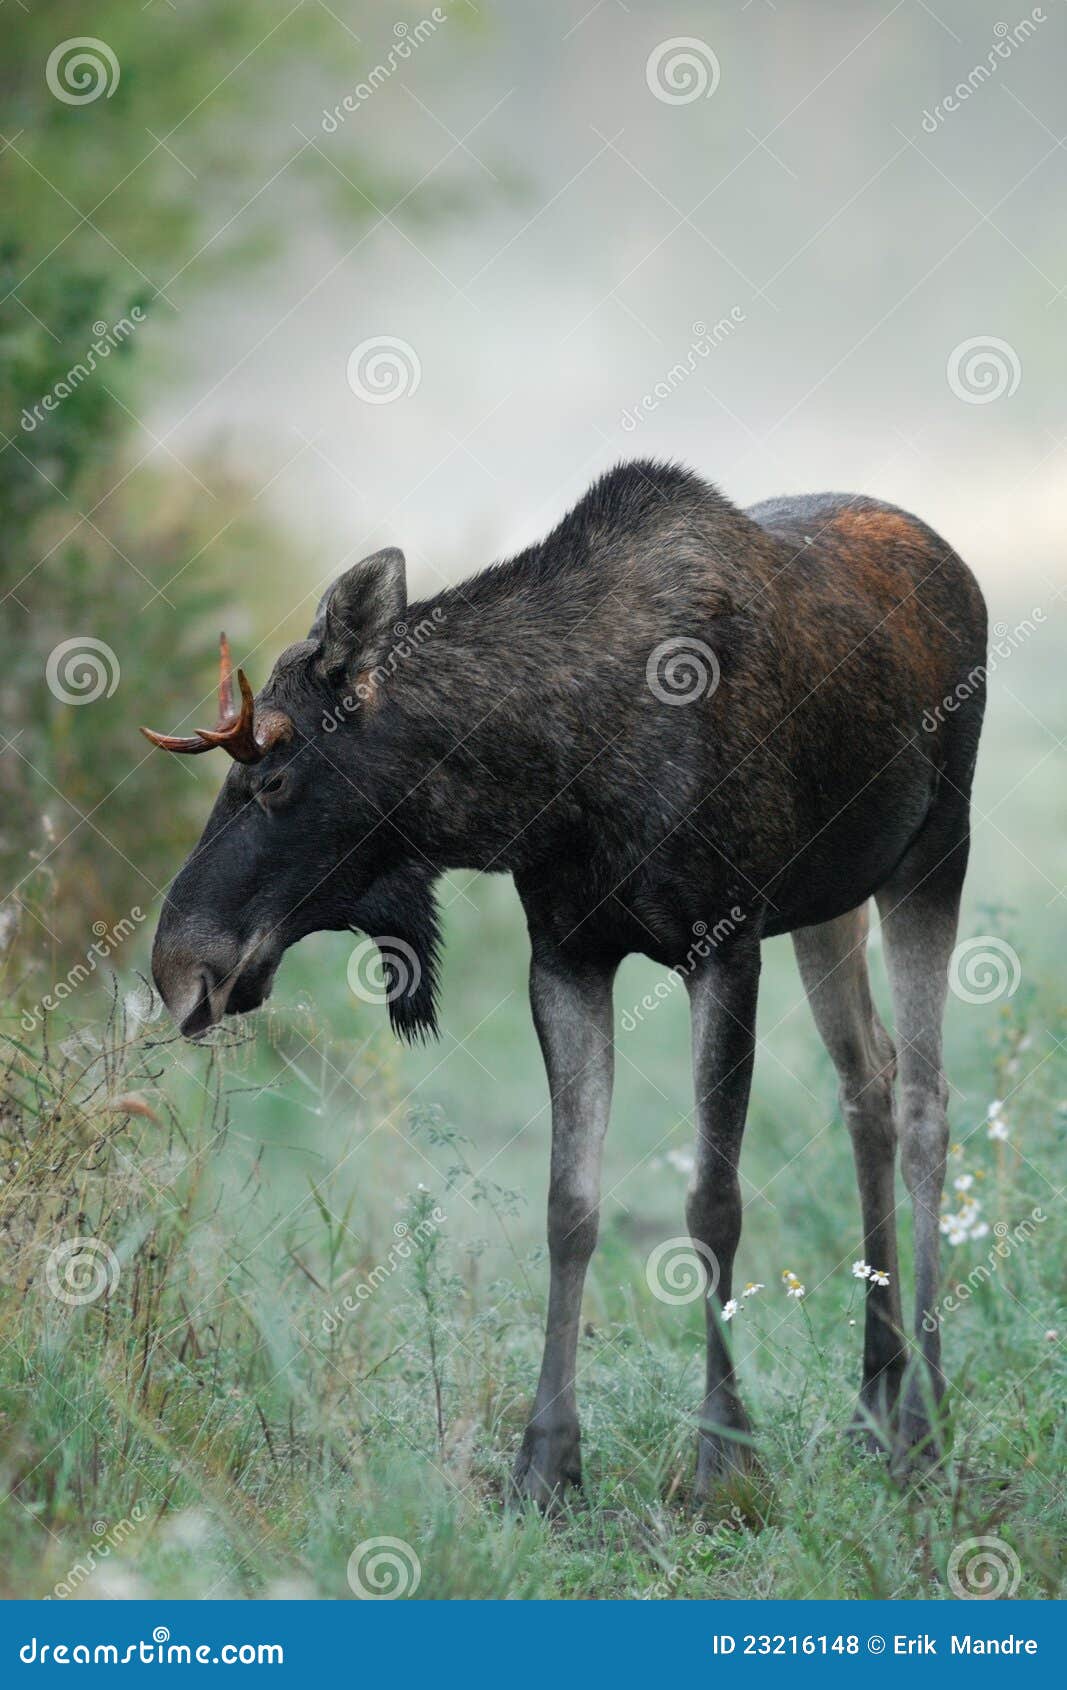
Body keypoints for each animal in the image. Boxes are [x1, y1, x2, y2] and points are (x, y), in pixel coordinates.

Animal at [144, 460, 987, 1504]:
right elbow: (569, 1207)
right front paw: (545, 1458)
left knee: (926, 1104)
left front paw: (723, 1454)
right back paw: (872, 1400)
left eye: (270, 780)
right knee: (867, 1080)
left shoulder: (725, 945)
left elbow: (713, 1203)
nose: (177, 968)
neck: (551, 776)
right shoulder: (566, 955)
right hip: (831, 899)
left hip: (933, 854)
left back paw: (924, 1421)